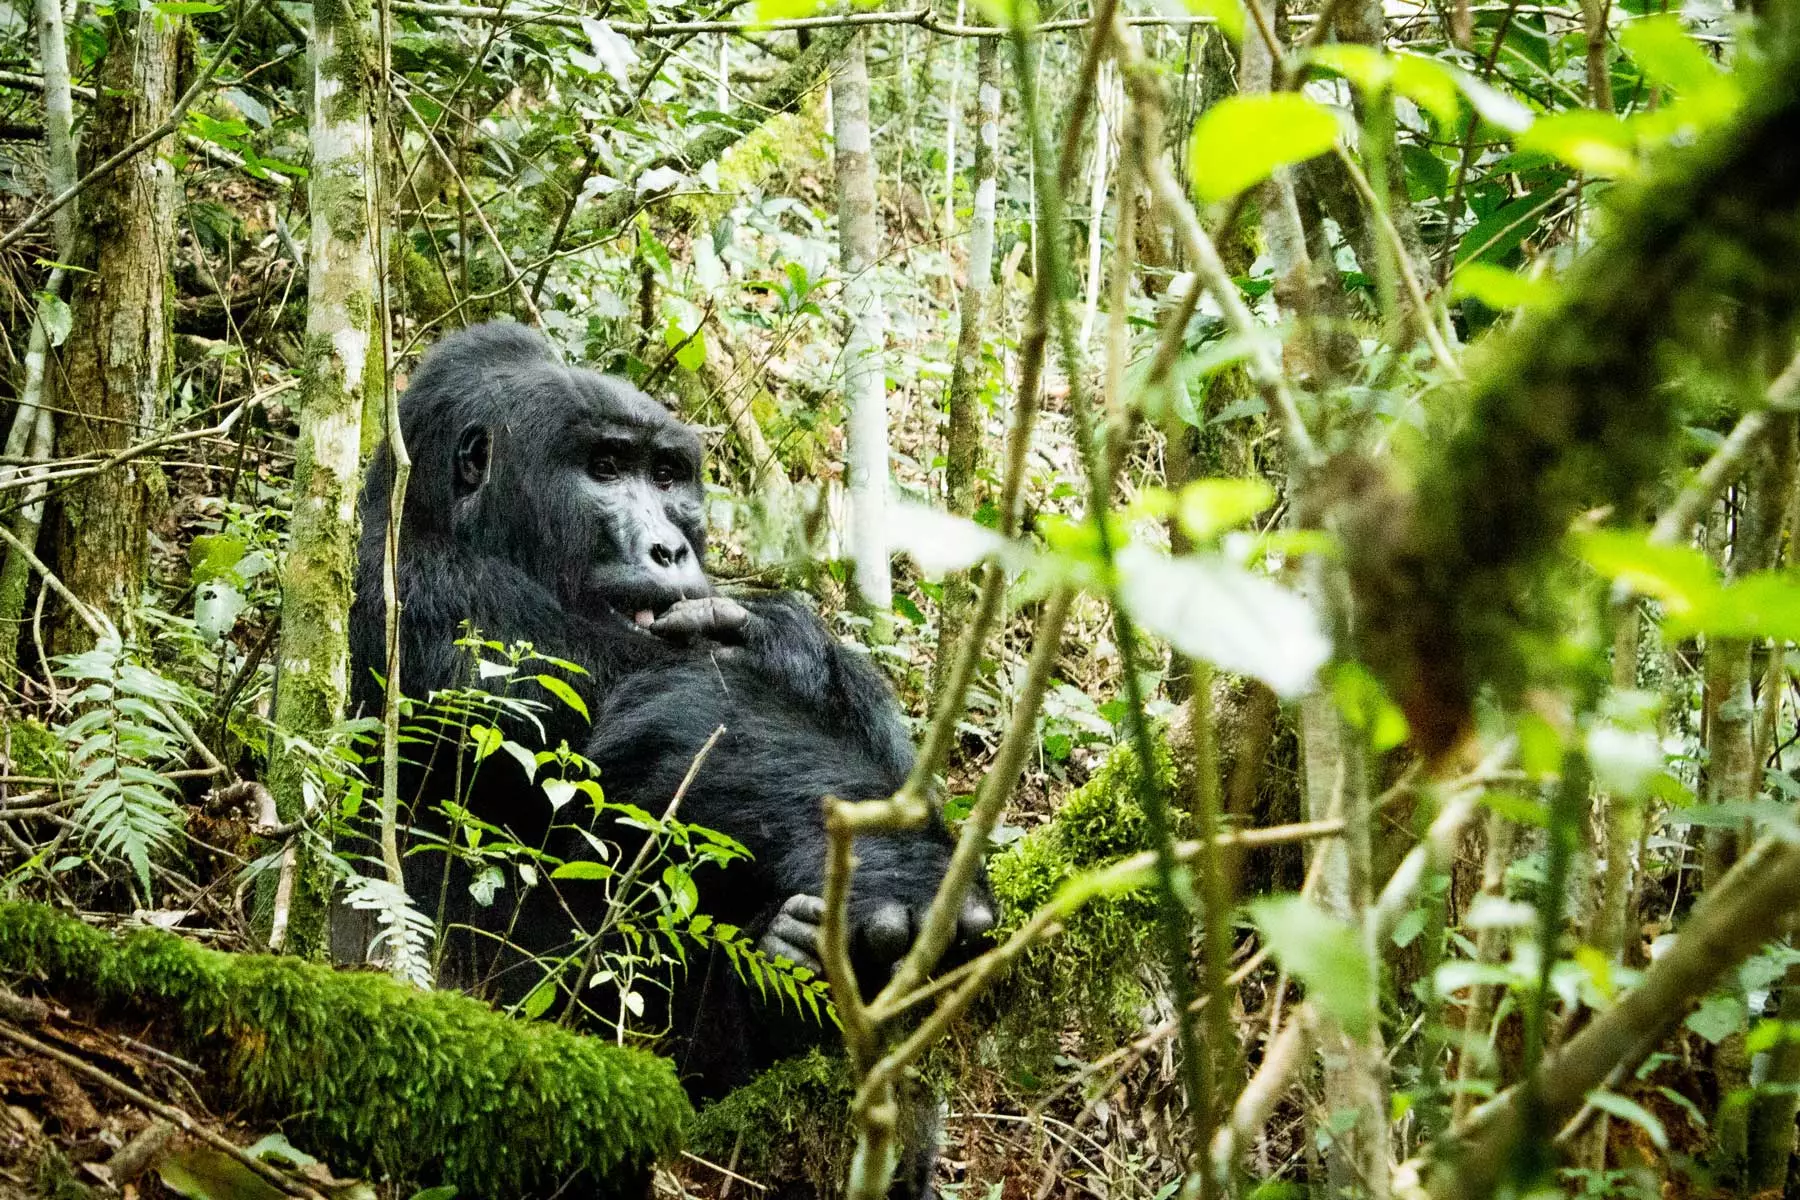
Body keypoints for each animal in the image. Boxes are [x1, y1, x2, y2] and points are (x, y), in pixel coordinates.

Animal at [347, 322, 1000, 1194]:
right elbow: (655, 712)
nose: (669, 549)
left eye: (666, 477)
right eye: (604, 469)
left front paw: (776, 636)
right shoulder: (441, 601)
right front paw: (899, 874)